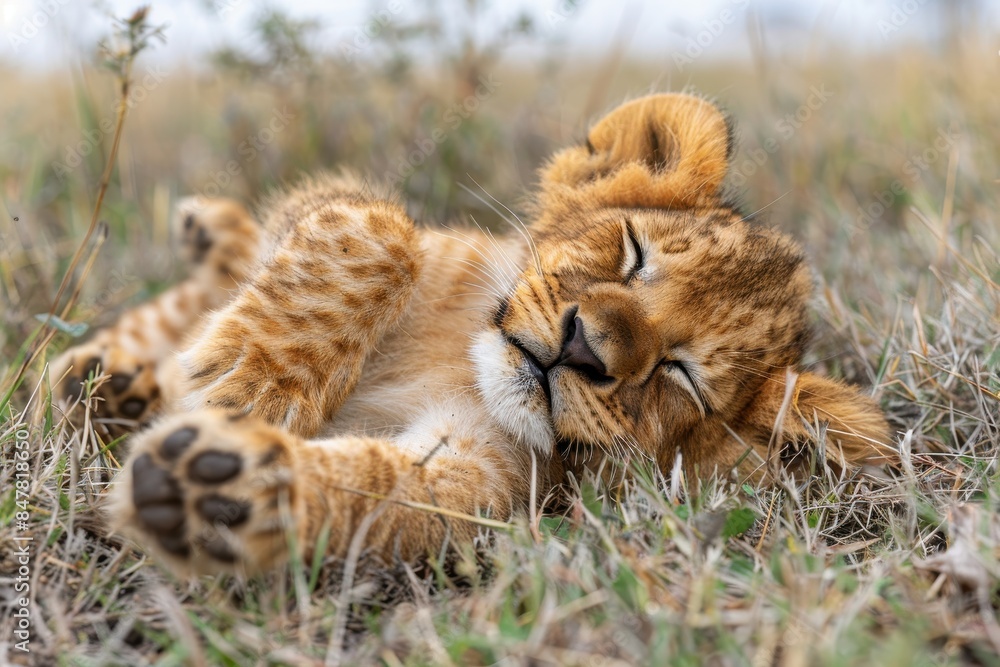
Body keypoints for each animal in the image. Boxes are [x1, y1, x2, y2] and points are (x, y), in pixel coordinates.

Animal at [50, 93, 896, 574]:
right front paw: (245, 384)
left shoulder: (491, 476)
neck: (465, 359)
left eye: (679, 372)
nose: (584, 345)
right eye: (634, 252)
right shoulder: (349, 215)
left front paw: (214, 489)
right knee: (201, 283)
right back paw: (122, 353)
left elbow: (396, 493)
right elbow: (377, 229)